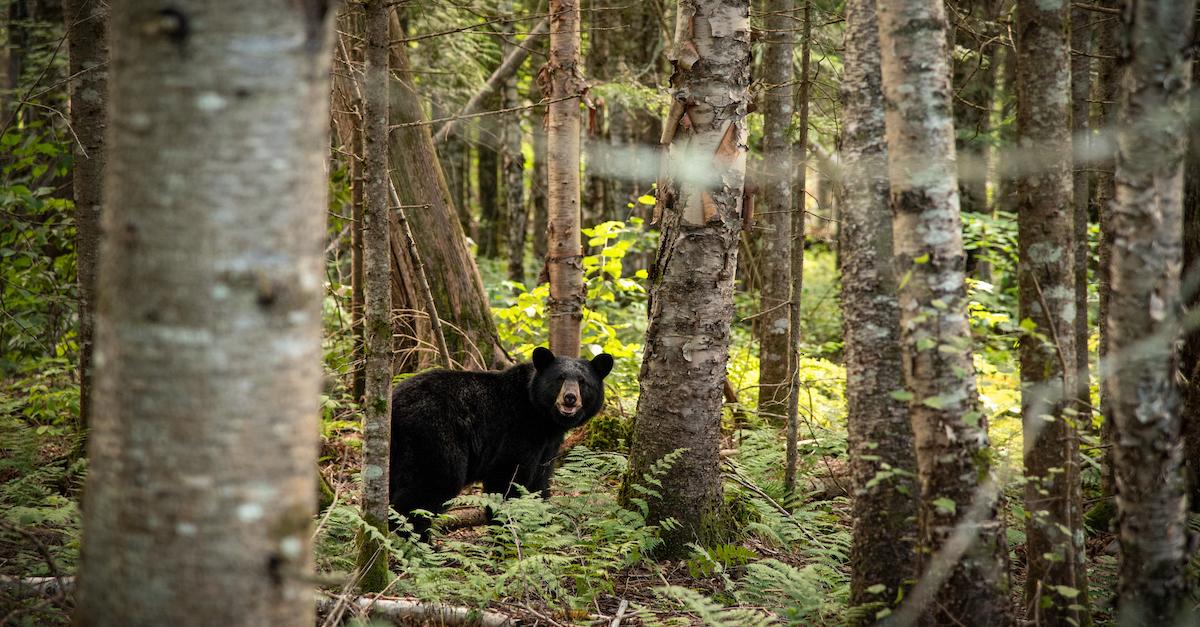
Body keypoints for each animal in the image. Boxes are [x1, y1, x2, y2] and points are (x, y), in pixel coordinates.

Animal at [388, 346, 613, 538]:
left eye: (583, 382)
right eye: (559, 379)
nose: (570, 398)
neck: (542, 418)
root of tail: (396, 402)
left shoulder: (548, 445)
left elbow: (539, 481)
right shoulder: (516, 431)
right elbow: (509, 479)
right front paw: (507, 528)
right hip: (435, 435)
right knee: (431, 486)